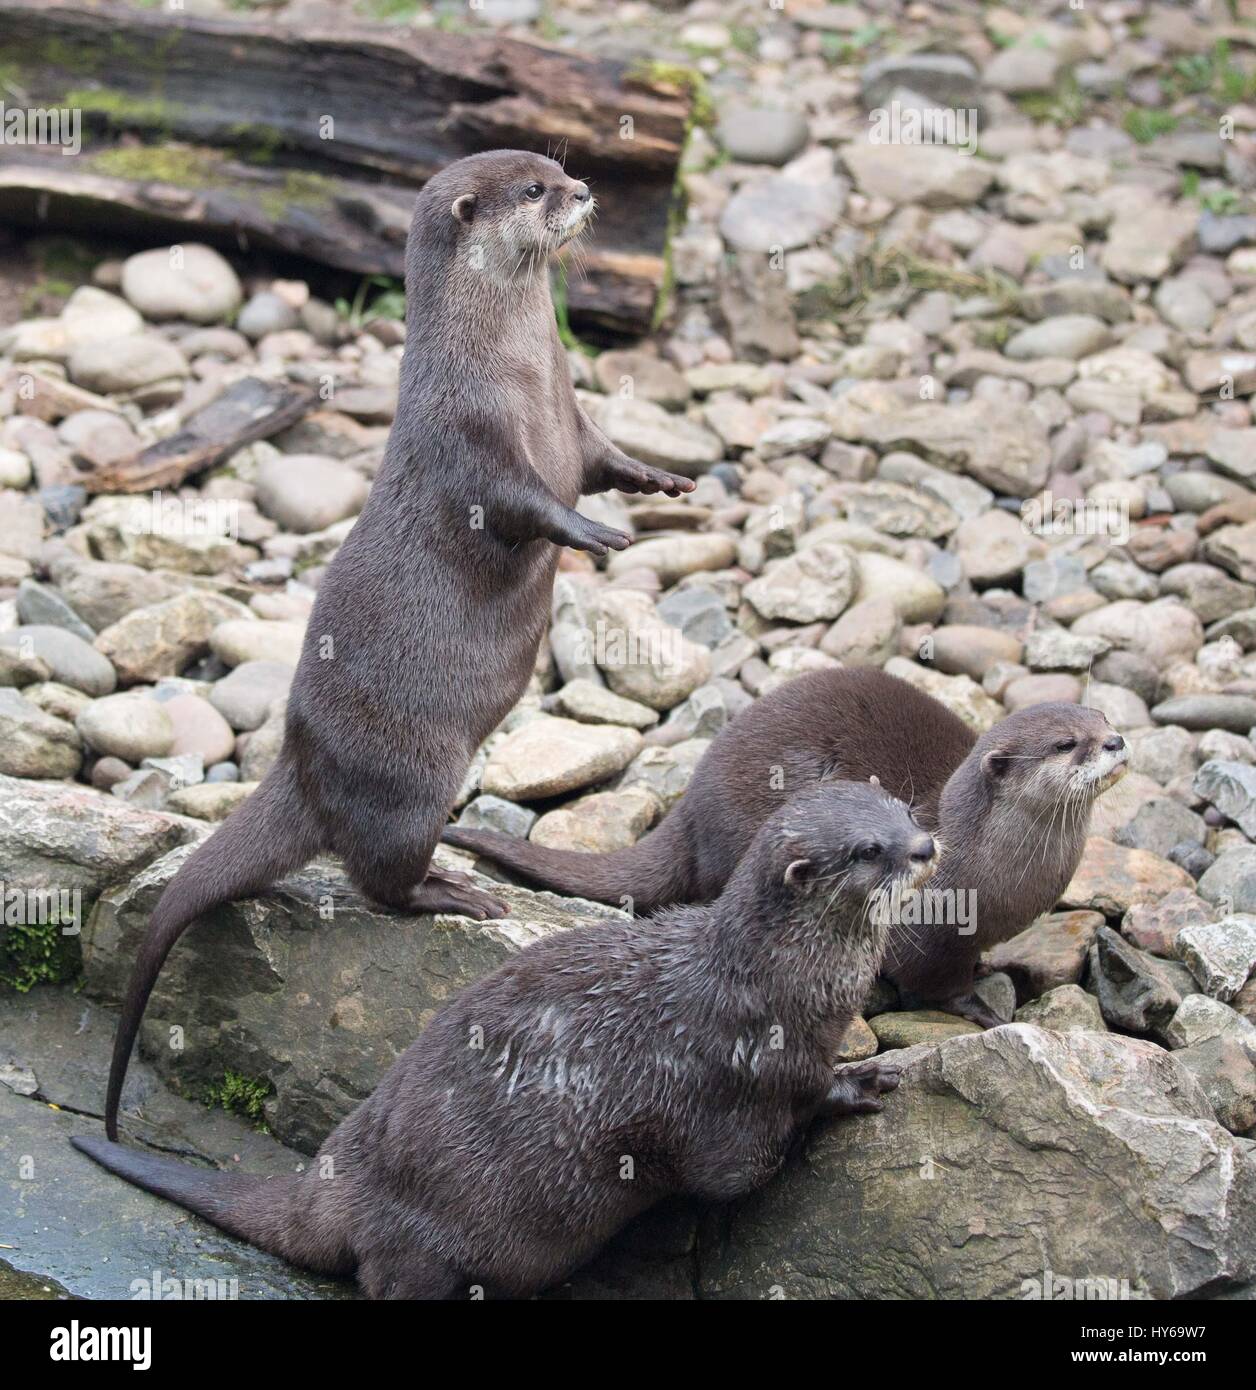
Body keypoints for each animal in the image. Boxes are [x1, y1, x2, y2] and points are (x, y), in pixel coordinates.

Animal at [75, 781, 928, 1300]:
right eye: (867, 851)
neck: (775, 982)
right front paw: (859, 1083)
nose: (925, 847)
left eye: (903, 811)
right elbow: (743, 1162)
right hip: (418, 1243)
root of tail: (327, 1184)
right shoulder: (736, 1079)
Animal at [101, 150, 695, 1141]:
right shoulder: (472, 441)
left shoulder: (574, 416)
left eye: (559, 167)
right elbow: (525, 503)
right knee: (379, 876)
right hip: (416, 773)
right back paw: (456, 890)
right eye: (532, 191)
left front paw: (662, 477)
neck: (518, 366)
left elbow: (605, 455)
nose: (583, 193)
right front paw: (593, 531)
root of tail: (301, 763)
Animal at [444, 667, 1129, 1027]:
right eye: (1067, 744)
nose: (1118, 740)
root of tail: (692, 804)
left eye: (1102, 720)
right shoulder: (925, 928)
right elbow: (932, 981)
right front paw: (979, 1006)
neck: (987, 865)